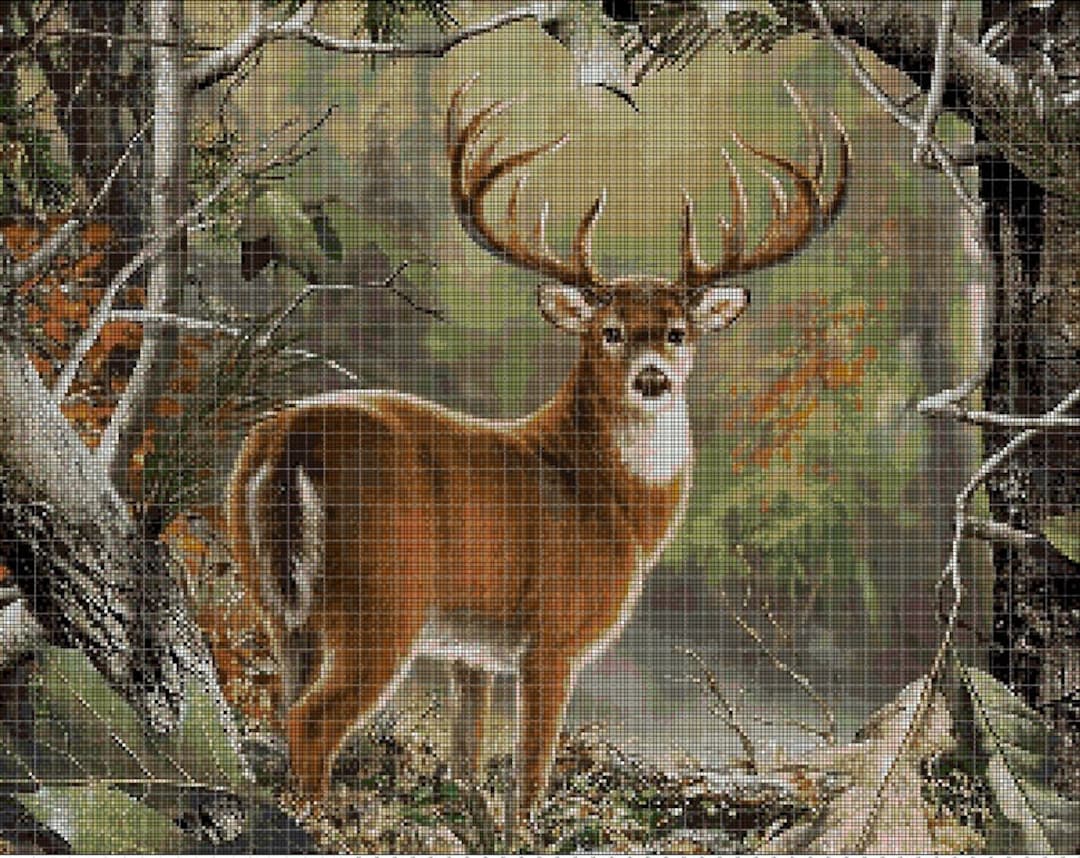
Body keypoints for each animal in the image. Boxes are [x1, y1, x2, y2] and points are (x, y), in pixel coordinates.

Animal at [225, 76, 848, 829]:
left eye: (676, 331)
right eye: (610, 331)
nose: (652, 379)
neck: (612, 504)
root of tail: (290, 440)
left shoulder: (471, 649)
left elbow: (467, 757)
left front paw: (474, 821)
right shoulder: (553, 631)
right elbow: (531, 767)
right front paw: (524, 831)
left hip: (276, 601)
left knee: (286, 702)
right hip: (382, 599)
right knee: (311, 721)